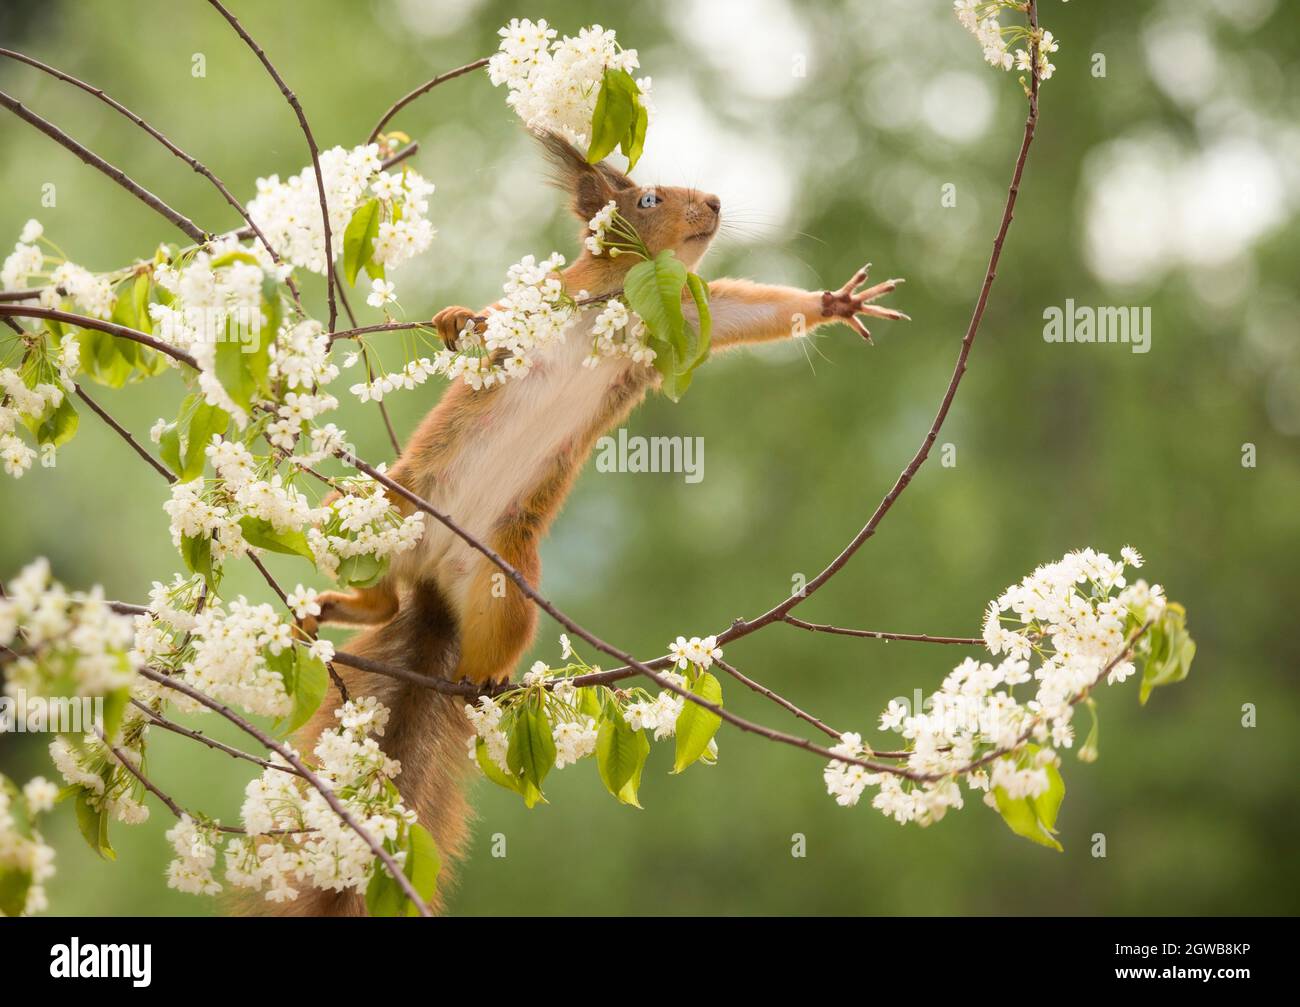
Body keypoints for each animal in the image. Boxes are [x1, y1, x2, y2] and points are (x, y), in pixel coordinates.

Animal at [272, 131, 906, 916]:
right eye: (649, 197)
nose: (715, 202)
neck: (626, 288)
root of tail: (434, 584)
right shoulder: (545, 298)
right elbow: (494, 322)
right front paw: (455, 321)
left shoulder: (686, 317)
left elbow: (754, 311)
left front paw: (834, 301)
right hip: (378, 511)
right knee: (379, 593)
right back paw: (339, 607)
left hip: (503, 571)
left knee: (409, 608)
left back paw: (479, 676)